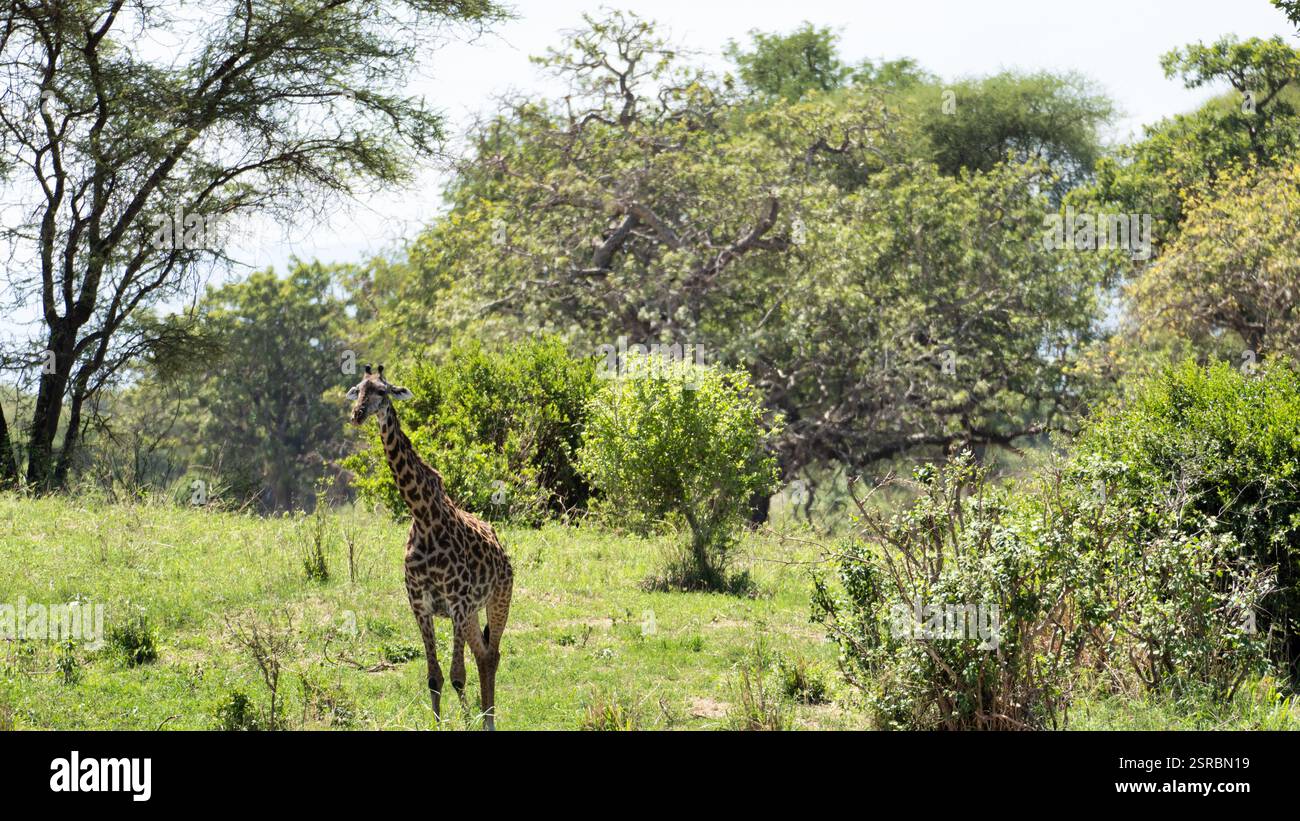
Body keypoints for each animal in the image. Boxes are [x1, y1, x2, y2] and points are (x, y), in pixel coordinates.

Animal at [347, 365, 513, 730]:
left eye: (382, 391)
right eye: (358, 389)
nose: (357, 414)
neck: (423, 516)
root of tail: (502, 549)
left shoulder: (457, 603)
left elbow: (457, 675)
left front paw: (466, 720)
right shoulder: (420, 603)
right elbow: (435, 677)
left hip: (498, 599)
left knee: (492, 654)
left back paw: (489, 720)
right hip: (473, 611)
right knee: (483, 654)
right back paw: (484, 715)